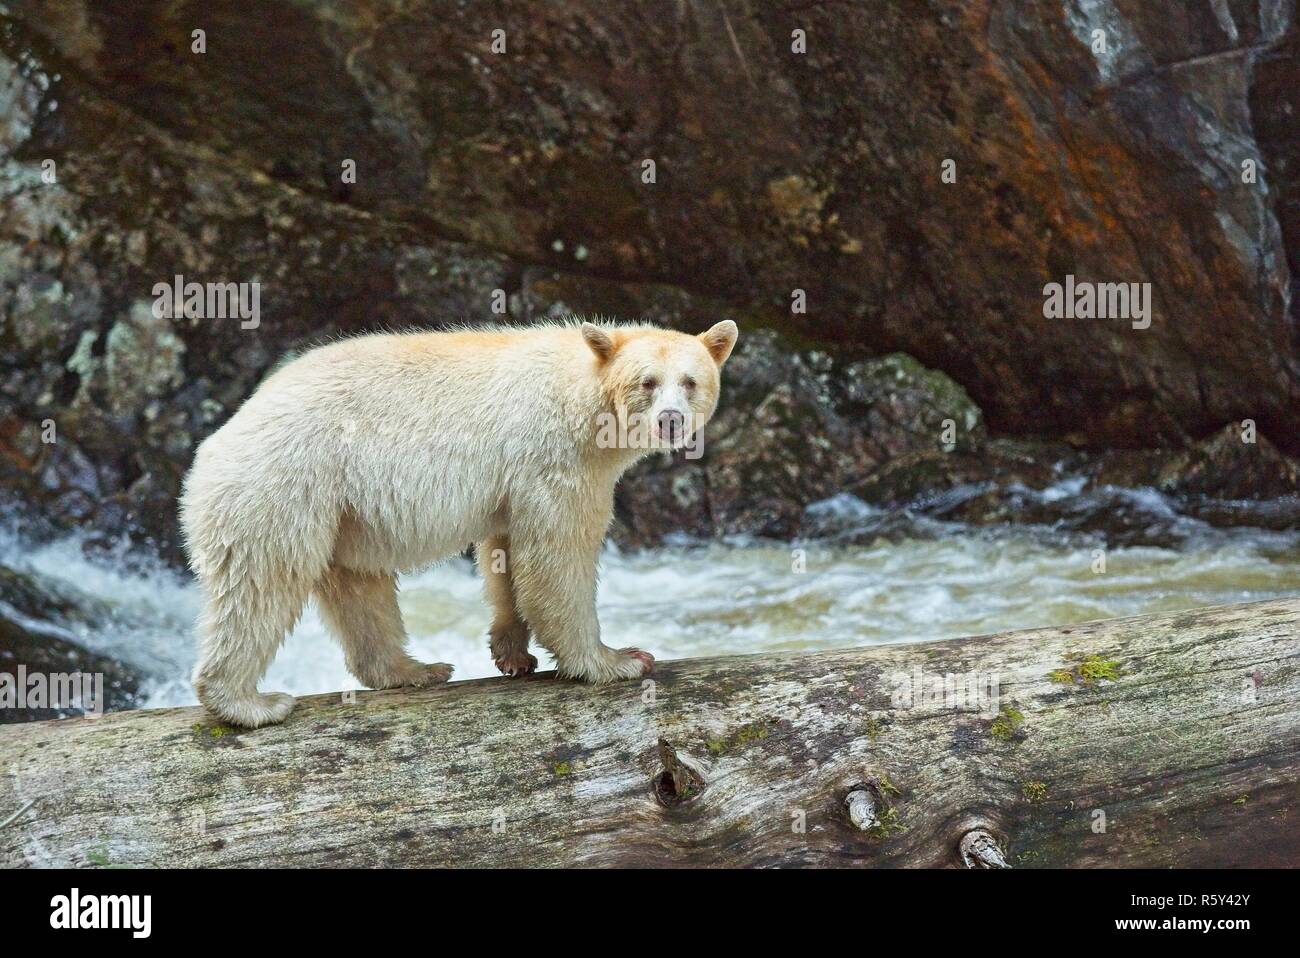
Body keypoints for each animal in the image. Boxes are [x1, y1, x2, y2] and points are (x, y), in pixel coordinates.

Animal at [180, 319, 739, 727]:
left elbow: (505, 552)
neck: (582, 392)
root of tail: (215, 444)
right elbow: (558, 554)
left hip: (341, 511)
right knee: (264, 582)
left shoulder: (517, 480)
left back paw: (415, 669)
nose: (671, 419)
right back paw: (249, 703)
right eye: (648, 382)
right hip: (284, 485)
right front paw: (616, 660)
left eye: (691, 381)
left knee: (358, 586)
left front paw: (512, 653)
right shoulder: (556, 456)